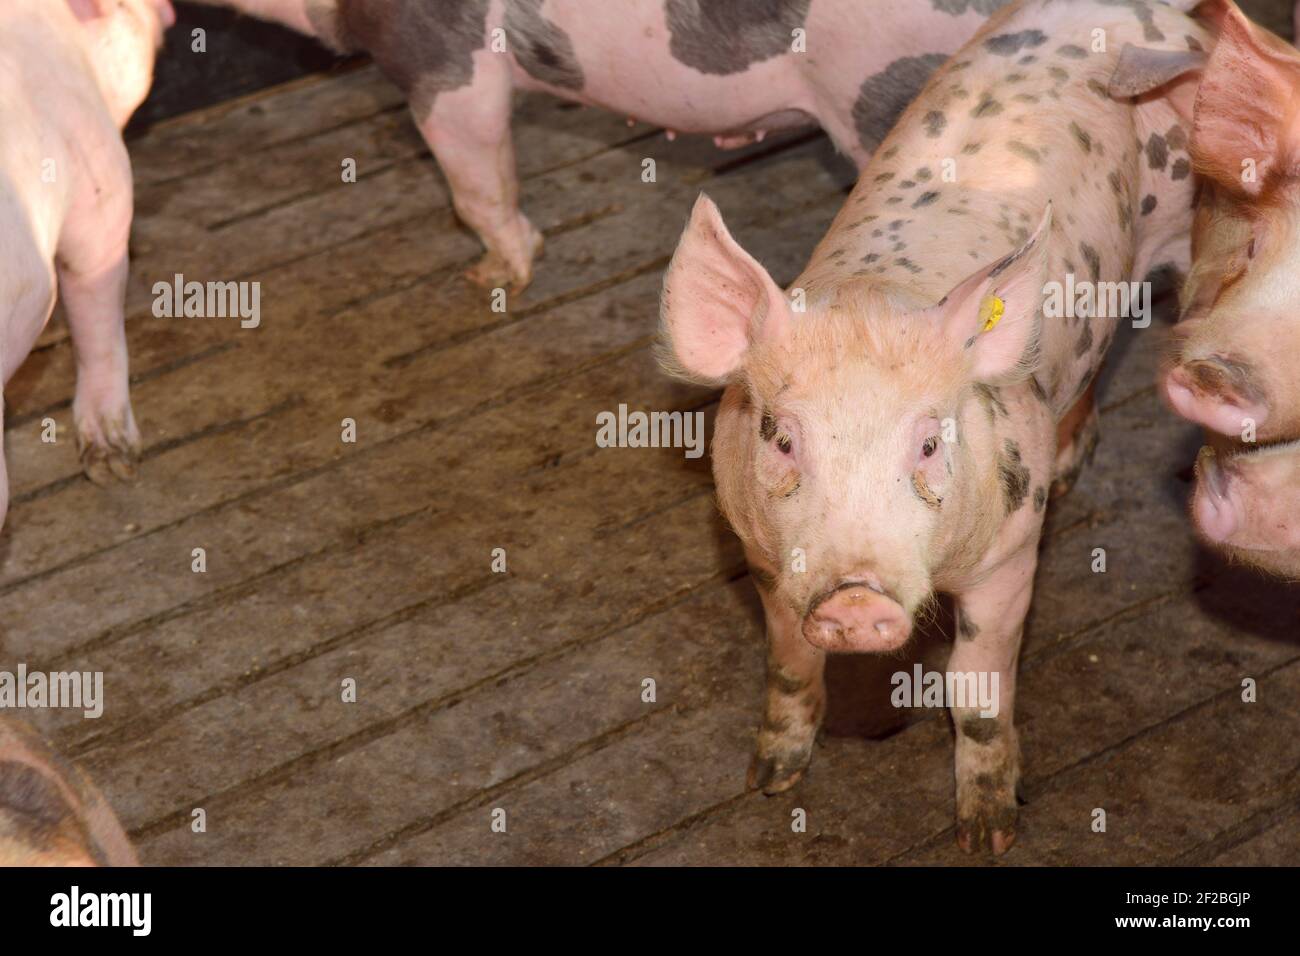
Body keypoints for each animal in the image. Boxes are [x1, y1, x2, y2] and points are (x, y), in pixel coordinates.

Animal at [658, 0, 1209, 853]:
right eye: (781, 437)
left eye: (927, 442)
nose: (856, 597)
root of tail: (1134, 20)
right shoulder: (759, 550)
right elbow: (789, 662)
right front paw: (770, 780)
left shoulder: (1011, 549)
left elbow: (975, 689)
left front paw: (988, 835)